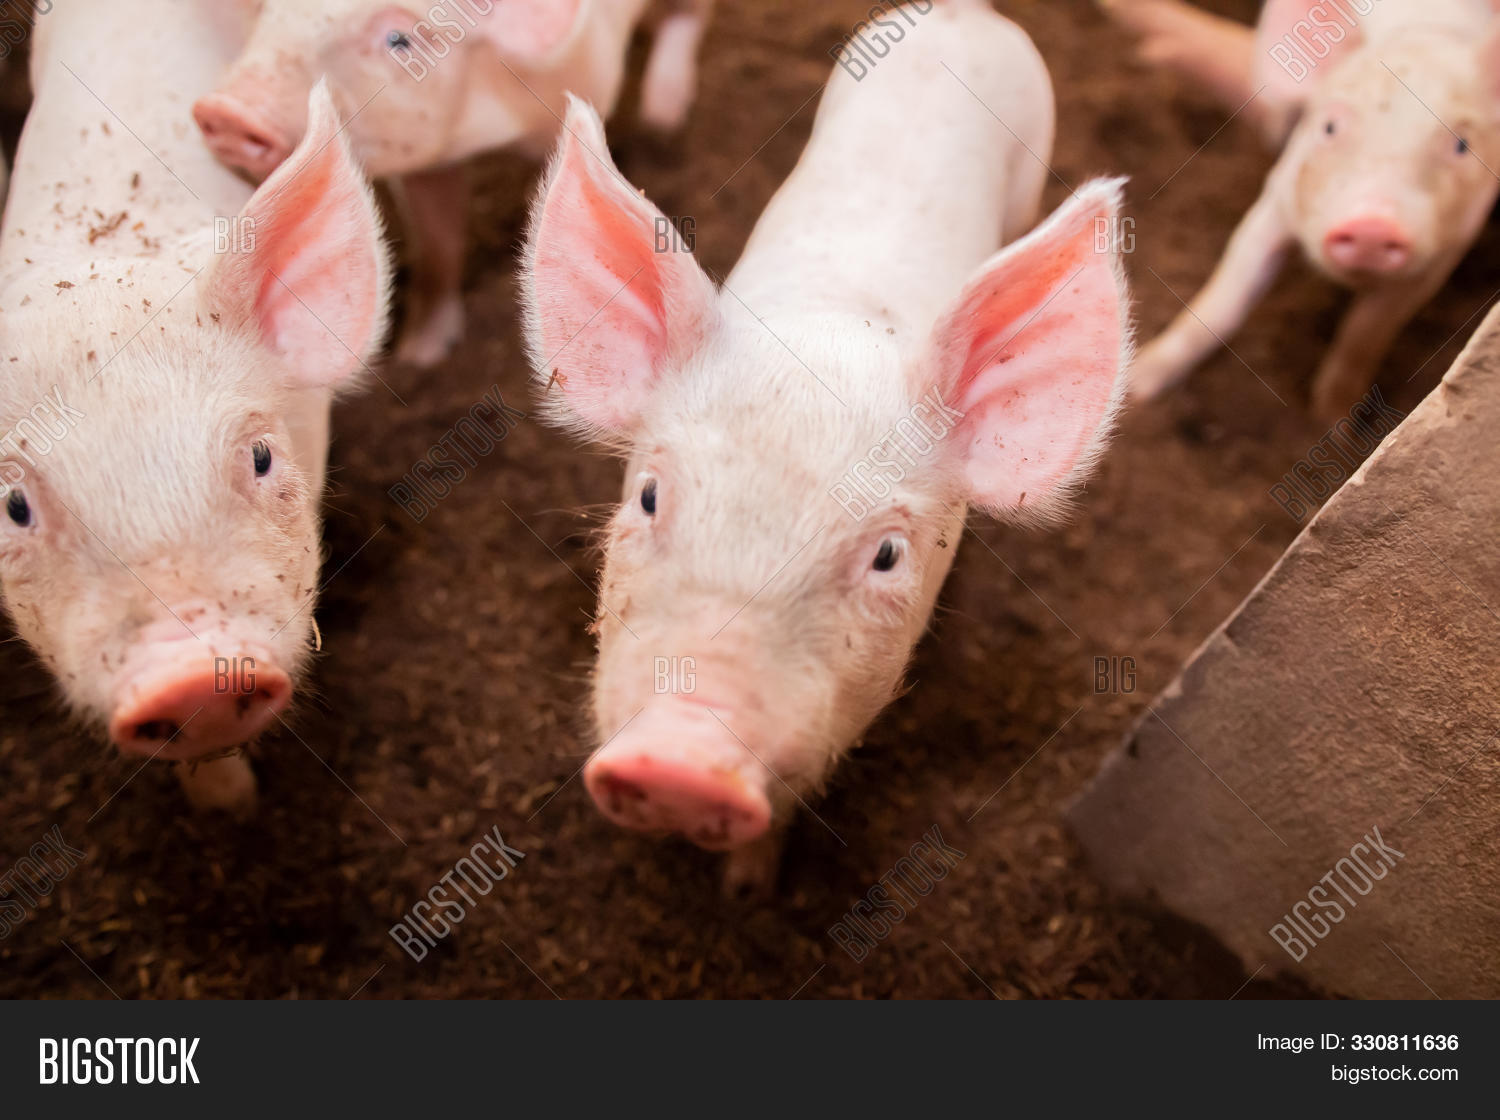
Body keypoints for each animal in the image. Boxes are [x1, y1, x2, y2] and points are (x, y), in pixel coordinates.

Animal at [194, 0, 716, 367]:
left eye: (399, 39)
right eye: (268, 11)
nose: (230, 113)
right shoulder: (425, 166)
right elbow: (438, 244)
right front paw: (420, 354)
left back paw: (664, 115)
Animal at [520, 0, 1134, 895]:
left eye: (886, 556)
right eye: (649, 496)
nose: (678, 753)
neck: (838, 322)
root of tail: (969, 13)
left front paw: (748, 890)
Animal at [1108, 0, 1500, 418]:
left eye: (1462, 145)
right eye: (1329, 127)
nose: (1373, 225)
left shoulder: (1444, 254)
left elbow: (1364, 335)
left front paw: (1333, 418)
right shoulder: (1277, 196)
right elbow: (1223, 304)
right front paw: (1138, 388)